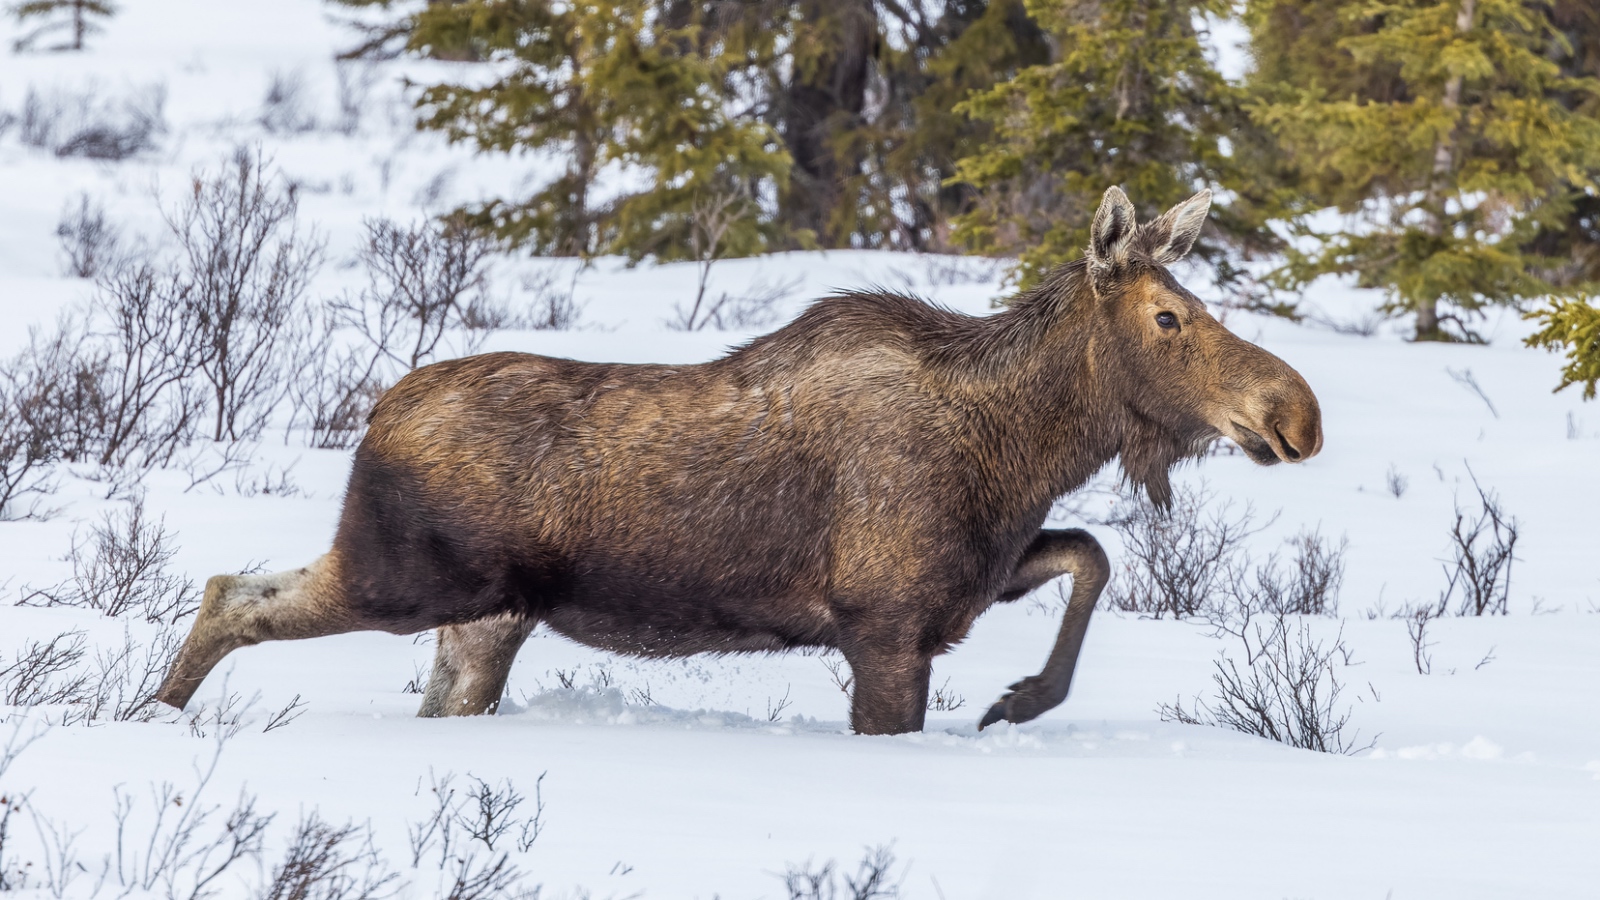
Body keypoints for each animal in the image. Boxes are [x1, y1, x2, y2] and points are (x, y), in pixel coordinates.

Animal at [156, 187, 1322, 735]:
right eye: (1169, 316)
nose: (1296, 414)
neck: (1023, 450)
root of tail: (376, 416)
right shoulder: (883, 627)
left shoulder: (968, 583)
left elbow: (1091, 554)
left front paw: (1020, 701)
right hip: (407, 577)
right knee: (228, 591)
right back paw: (153, 718)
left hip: (483, 618)